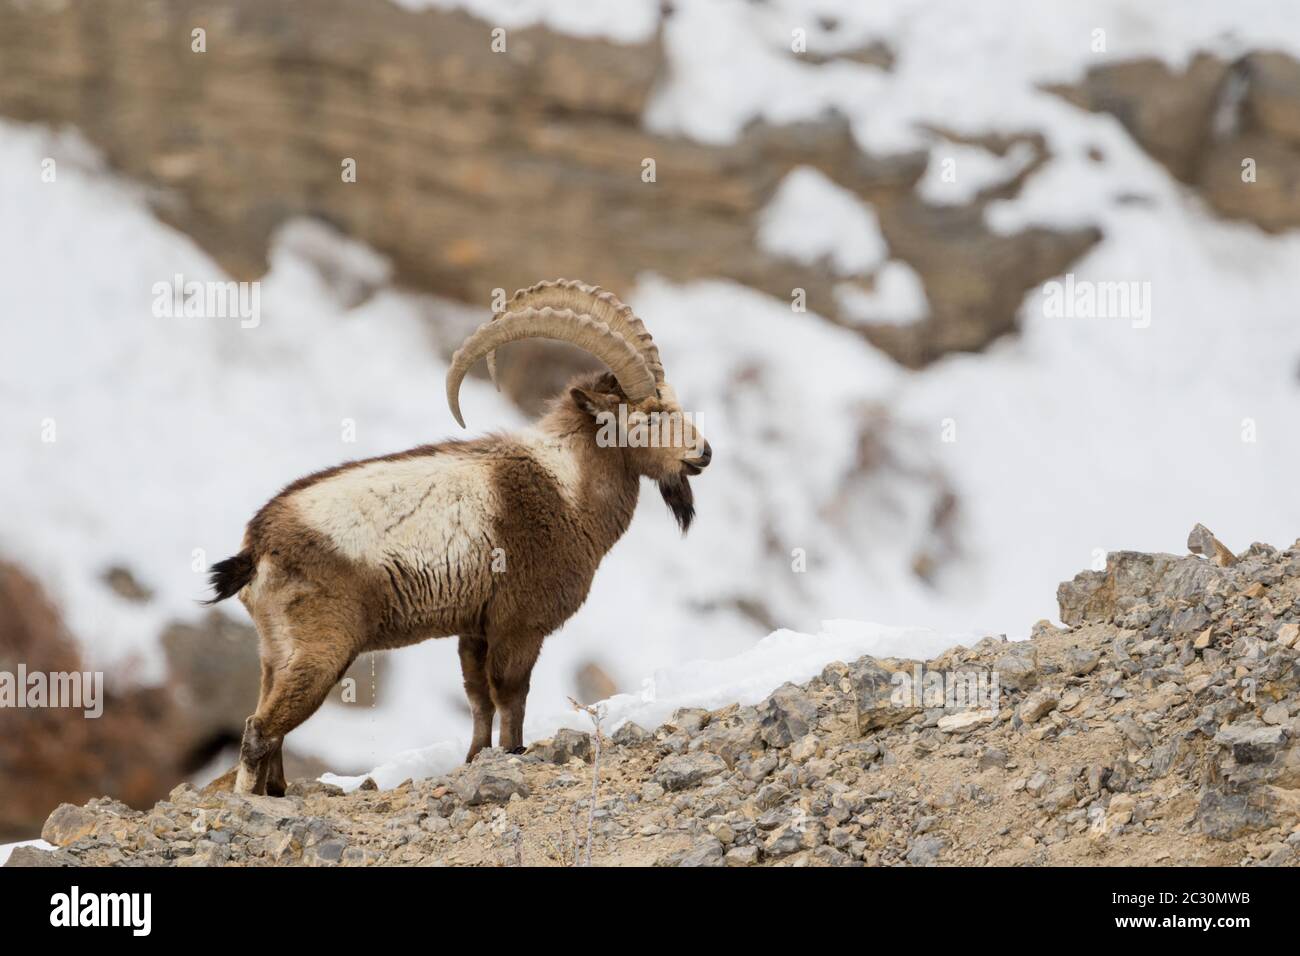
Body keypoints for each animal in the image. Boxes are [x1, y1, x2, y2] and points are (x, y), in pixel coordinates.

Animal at [204, 280, 711, 795]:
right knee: (259, 730)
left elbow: (477, 697)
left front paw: (475, 757)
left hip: (276, 654)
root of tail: (258, 544)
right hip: (322, 650)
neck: (566, 485)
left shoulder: (475, 626)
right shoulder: (518, 622)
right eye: (649, 416)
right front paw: (511, 753)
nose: (703, 453)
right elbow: (510, 694)